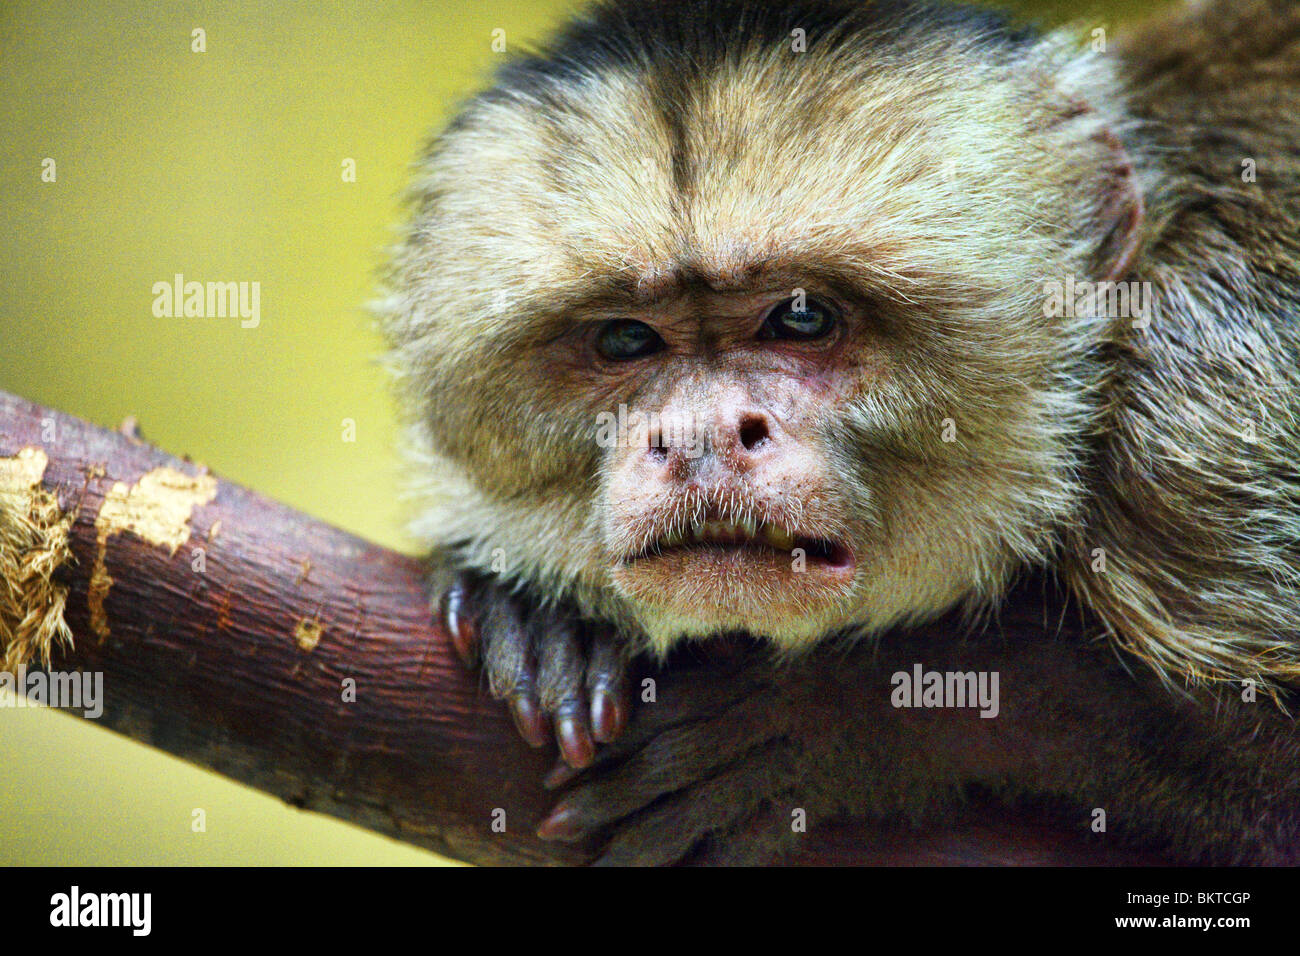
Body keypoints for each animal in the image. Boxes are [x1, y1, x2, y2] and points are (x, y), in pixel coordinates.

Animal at [378, 0, 1300, 863]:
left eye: (801, 317)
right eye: (627, 340)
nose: (703, 437)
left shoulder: (1198, 421)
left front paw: (849, 714)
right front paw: (534, 613)